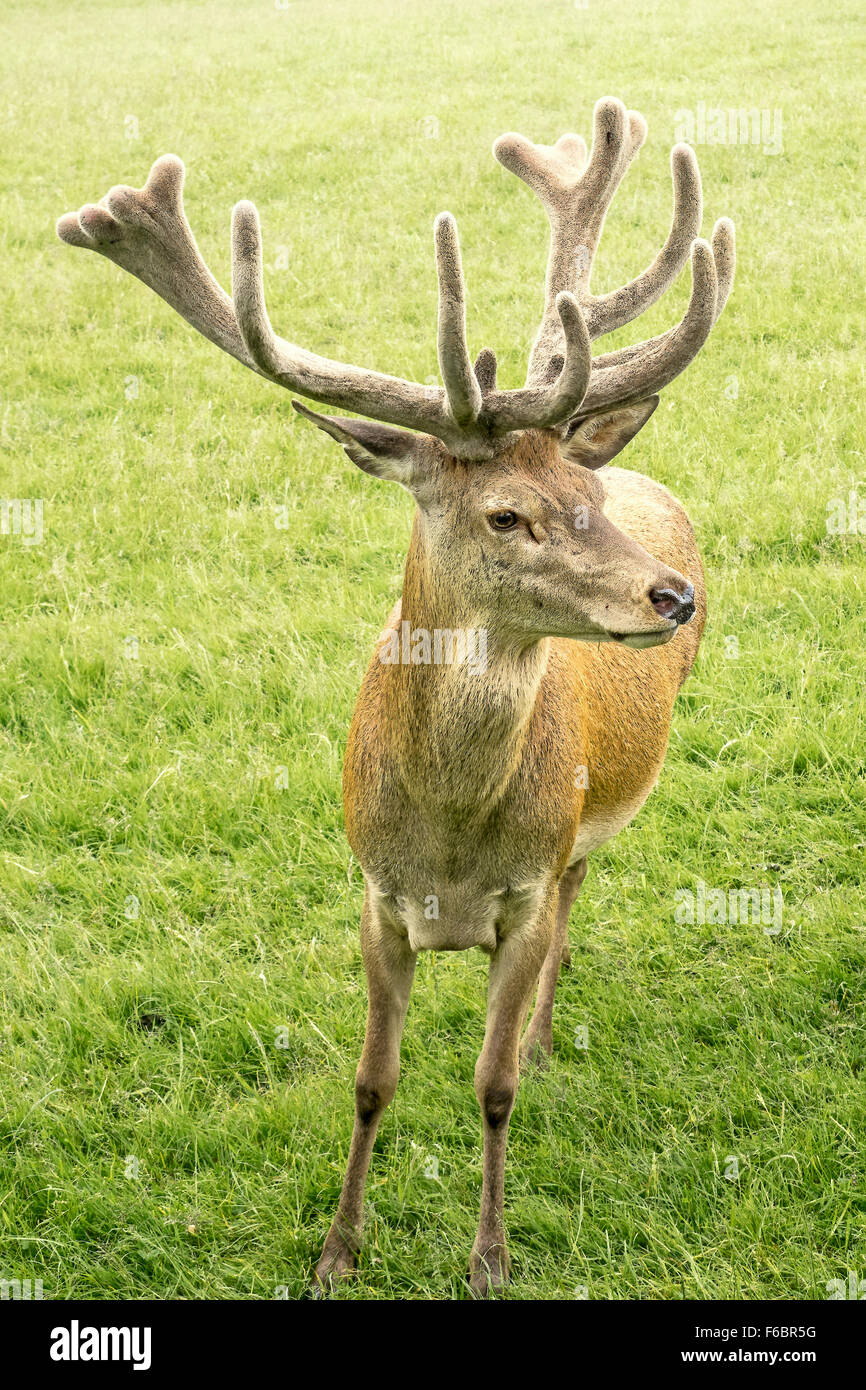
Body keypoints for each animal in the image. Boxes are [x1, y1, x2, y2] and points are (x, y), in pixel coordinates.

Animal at [57, 96, 734, 1297]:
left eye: (583, 490)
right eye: (506, 513)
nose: (674, 595)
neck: (452, 835)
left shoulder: (523, 889)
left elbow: (491, 1084)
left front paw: (490, 1255)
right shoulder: (371, 892)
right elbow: (372, 1081)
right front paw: (336, 1248)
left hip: (594, 819)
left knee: (579, 895)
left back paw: (546, 1036)